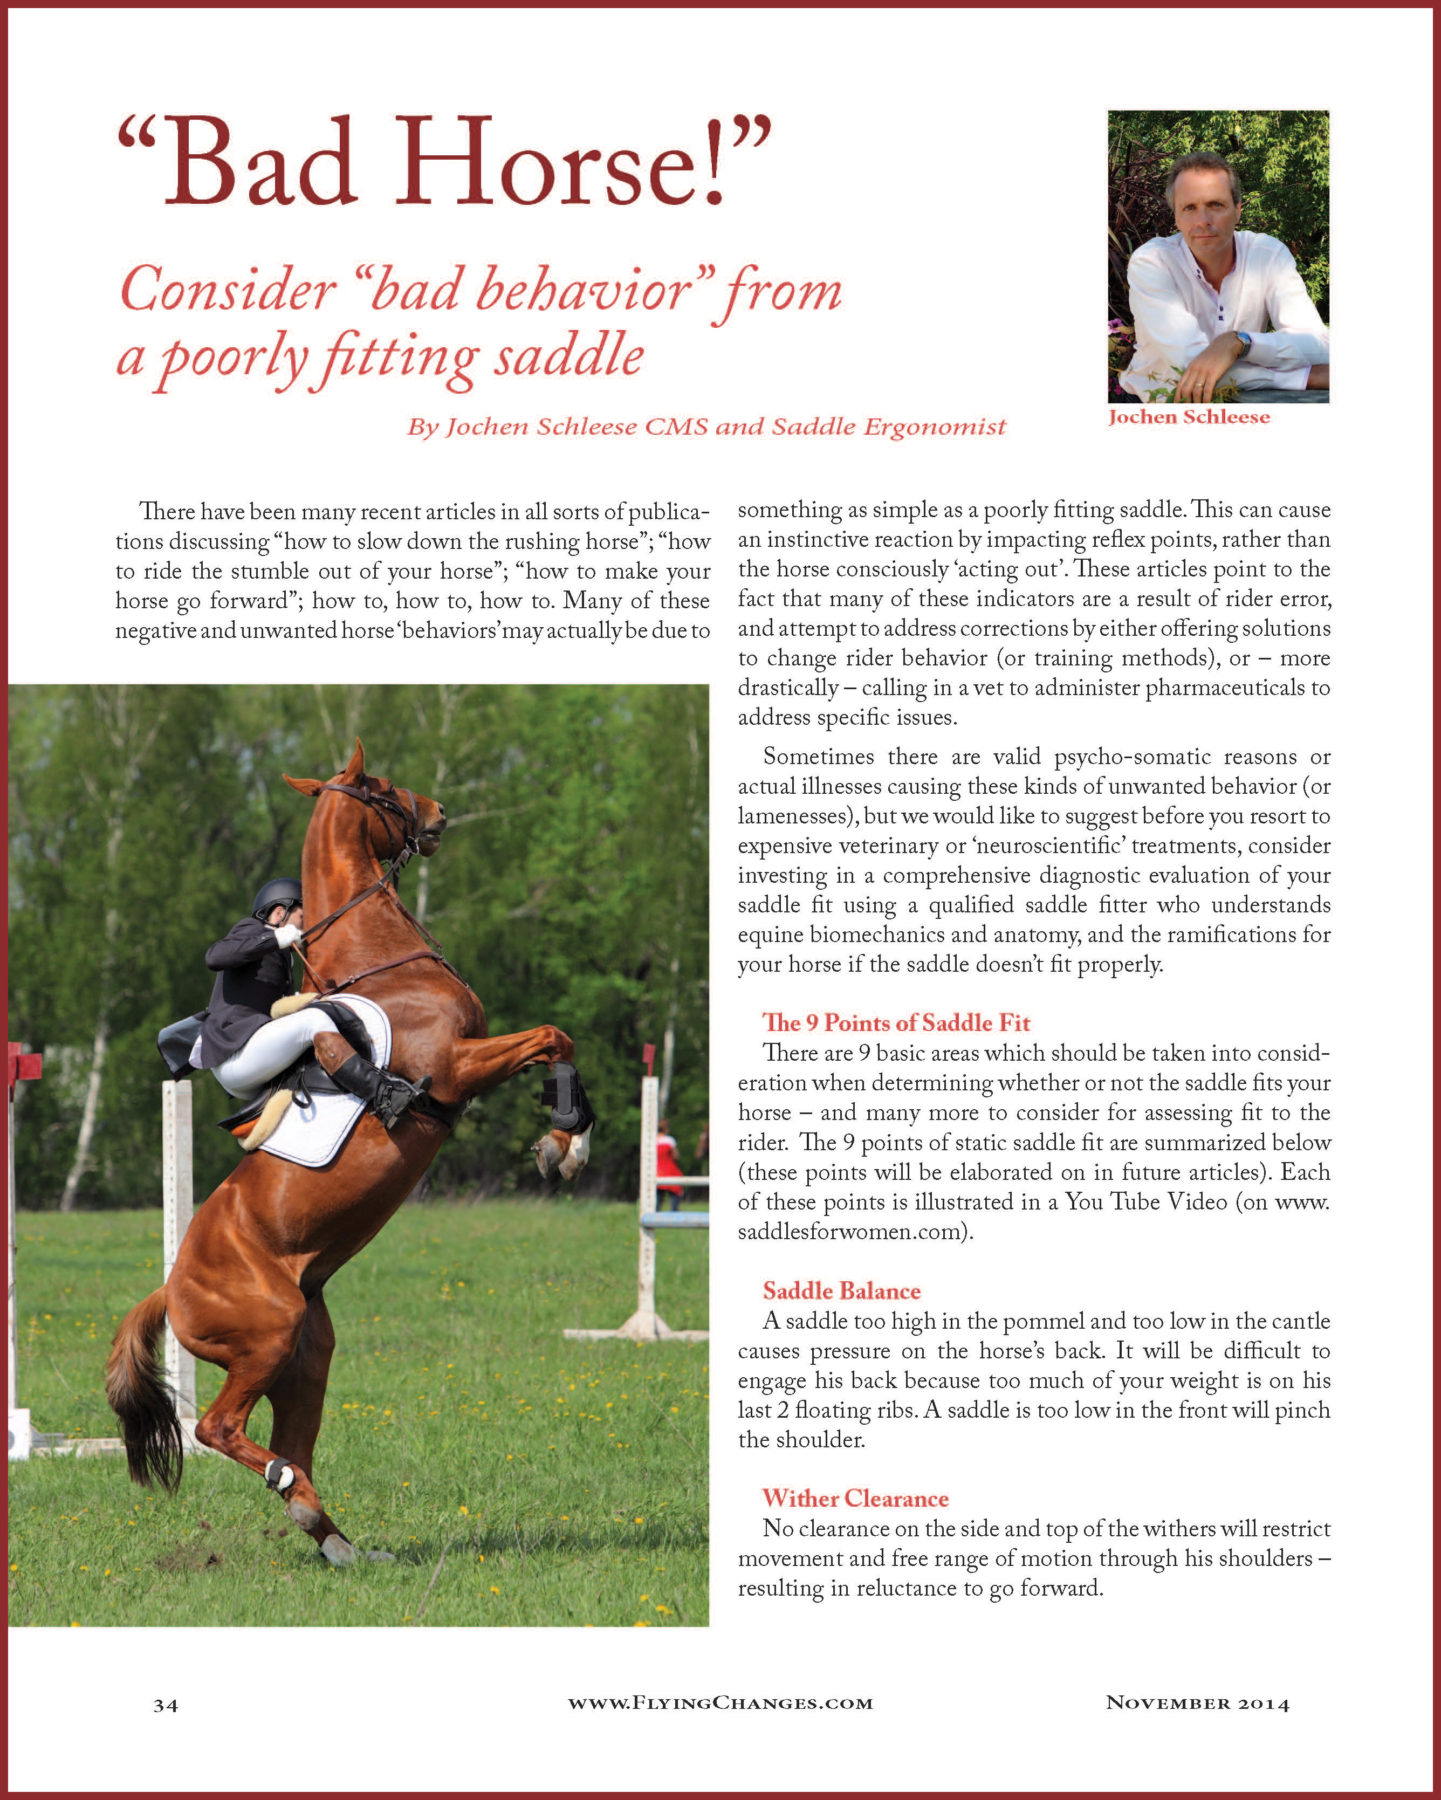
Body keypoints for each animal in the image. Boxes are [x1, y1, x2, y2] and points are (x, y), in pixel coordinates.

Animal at [105, 740, 595, 1565]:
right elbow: (553, 1036)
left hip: (306, 1353)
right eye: (386, 786)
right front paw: (565, 1140)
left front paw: (563, 1140)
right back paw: (292, 1491)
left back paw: (335, 1538)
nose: (438, 814)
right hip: (267, 1331)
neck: (381, 954)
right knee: (221, 1428)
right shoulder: (455, 1065)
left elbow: (555, 1040)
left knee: (291, 1440)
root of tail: (169, 1292)